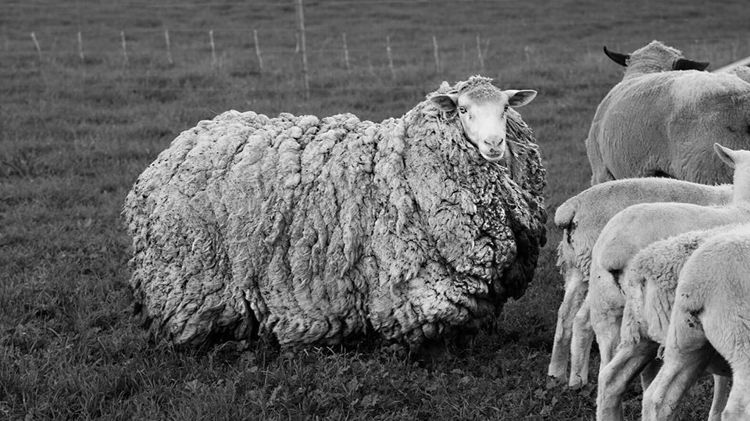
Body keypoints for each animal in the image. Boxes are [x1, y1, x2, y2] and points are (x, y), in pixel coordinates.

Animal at [122, 76, 548, 349]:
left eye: (505, 107)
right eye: (462, 109)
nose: (494, 144)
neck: (408, 163)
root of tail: (175, 149)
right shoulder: (405, 283)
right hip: (189, 278)